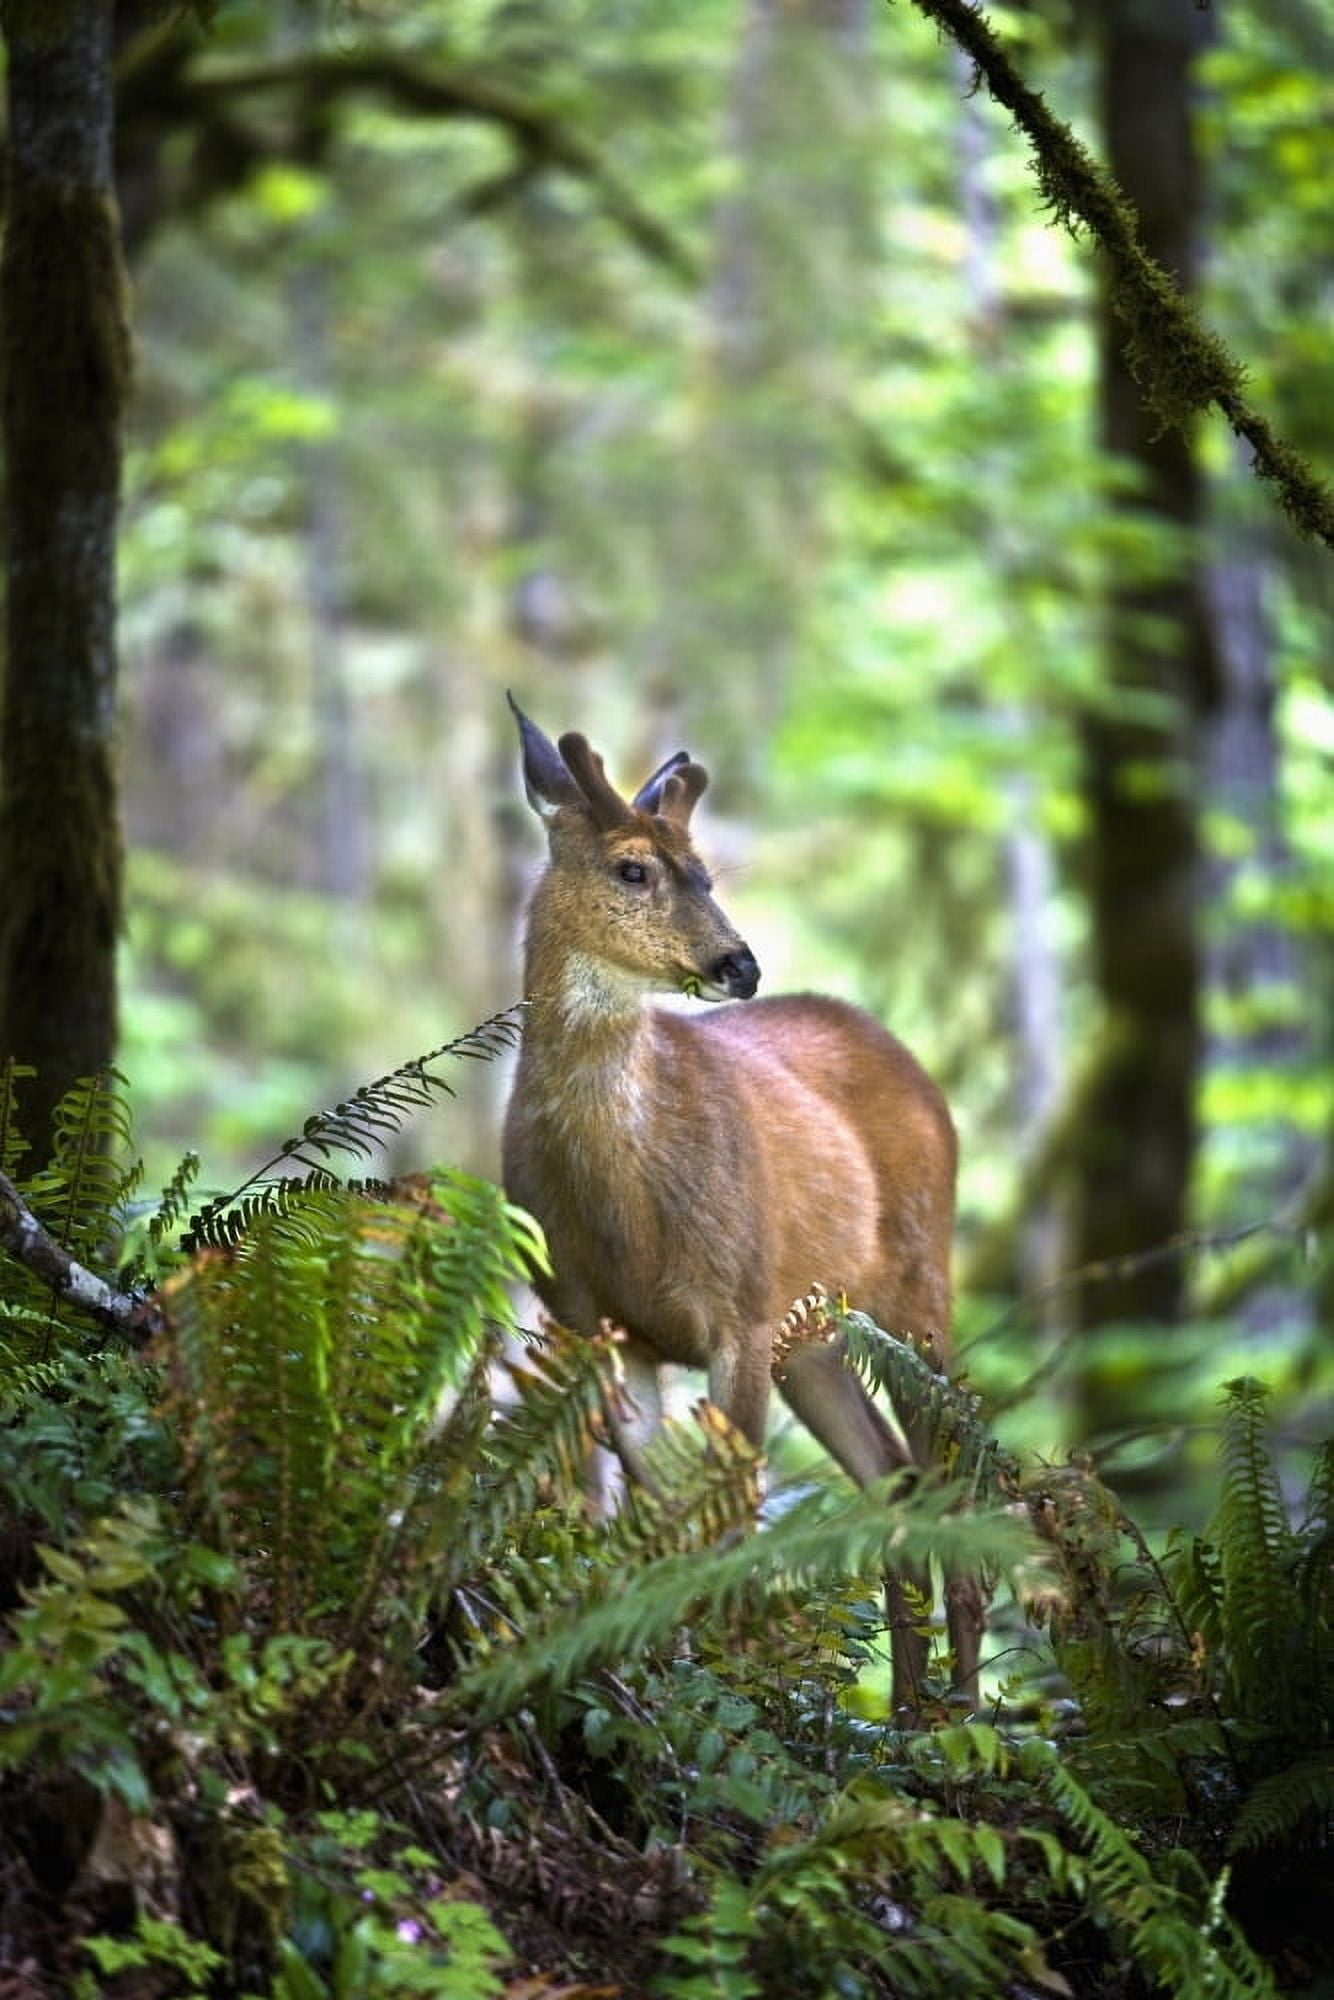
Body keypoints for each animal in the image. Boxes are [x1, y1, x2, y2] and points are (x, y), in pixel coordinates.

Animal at [502, 695, 983, 1716]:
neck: (624, 1208)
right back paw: (910, 1714)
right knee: (896, 1475)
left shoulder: (737, 1309)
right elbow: (662, 1521)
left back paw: (963, 1715)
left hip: (912, 1284)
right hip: (814, 1335)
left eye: (707, 872)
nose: (740, 965)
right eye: (632, 867)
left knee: (954, 1477)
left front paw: (726, 1684)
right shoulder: (598, 1324)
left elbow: (729, 1522)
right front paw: (671, 1677)